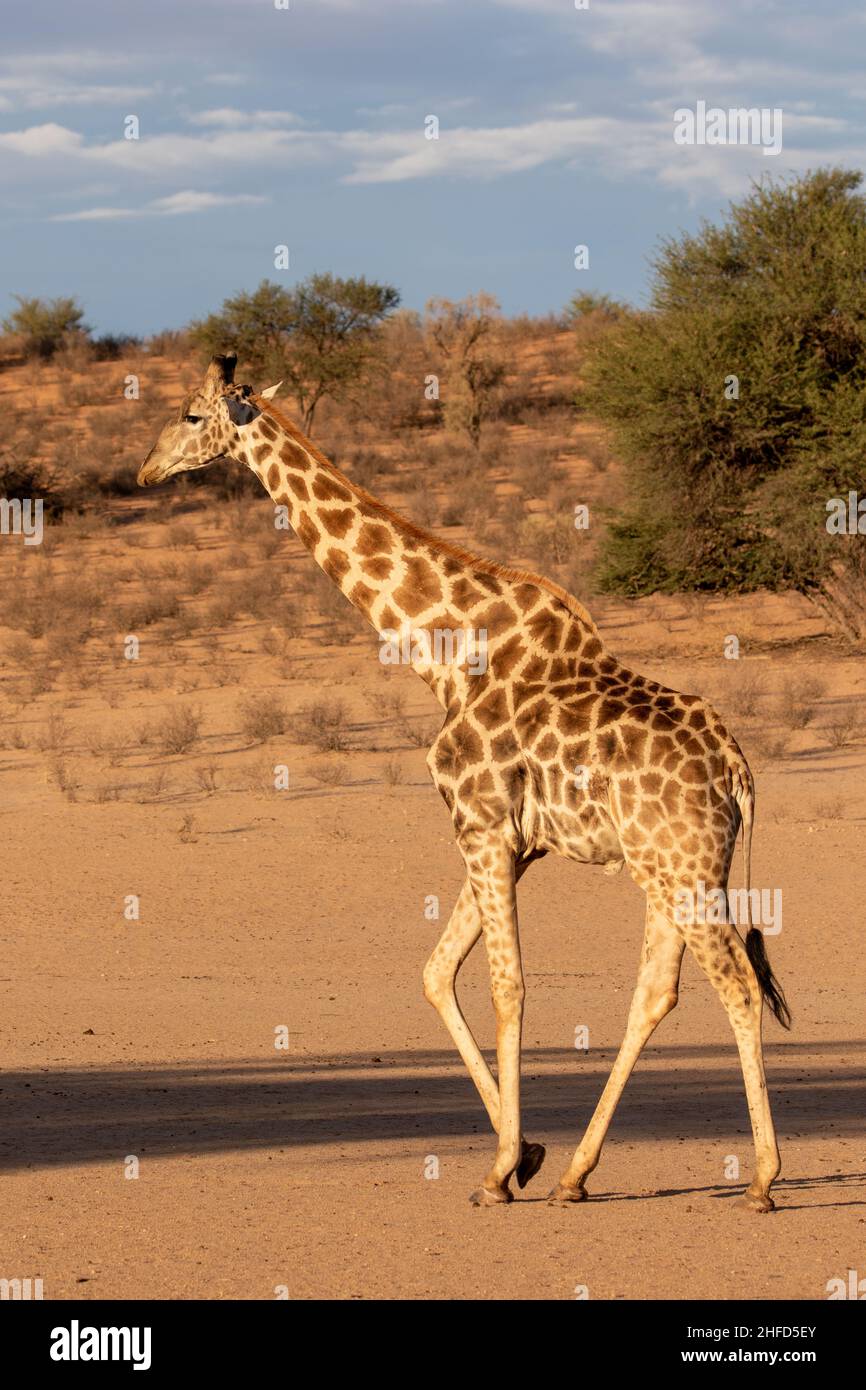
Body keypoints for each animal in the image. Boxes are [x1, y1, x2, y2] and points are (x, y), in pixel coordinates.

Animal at [139, 353, 791, 1211]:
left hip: (683, 867)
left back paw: (762, 1179)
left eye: (188, 414)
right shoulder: (508, 840)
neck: (445, 656)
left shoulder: (479, 826)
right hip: (664, 869)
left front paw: (498, 1169)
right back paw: (577, 1175)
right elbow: (435, 972)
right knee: (658, 990)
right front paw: (528, 1156)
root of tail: (738, 771)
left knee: (738, 986)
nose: (146, 469)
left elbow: (505, 985)